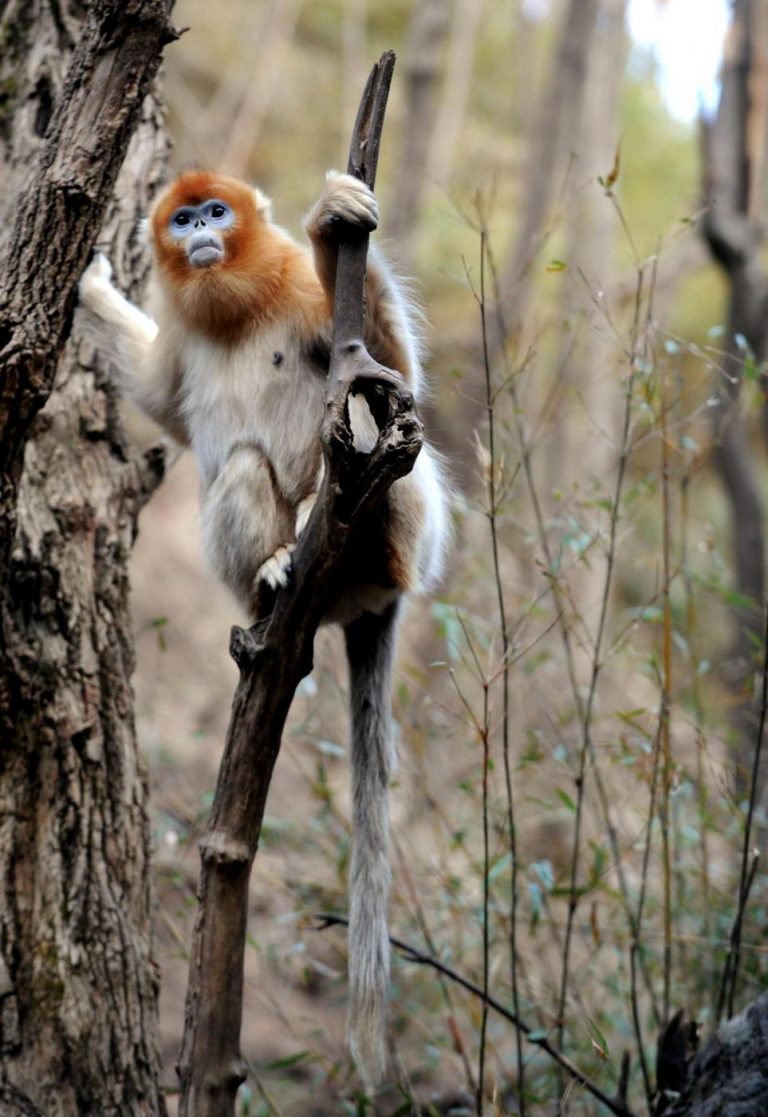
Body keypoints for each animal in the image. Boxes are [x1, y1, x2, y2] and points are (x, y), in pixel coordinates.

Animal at [78, 168, 448, 1090]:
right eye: (183, 219)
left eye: (217, 212)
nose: (201, 231)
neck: (235, 308)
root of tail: (365, 598)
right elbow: (164, 401)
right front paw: (91, 288)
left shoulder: (309, 300)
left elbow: (394, 376)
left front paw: (334, 221)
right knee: (241, 463)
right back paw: (275, 576)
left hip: (406, 537)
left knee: (381, 437)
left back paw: (335, 520)